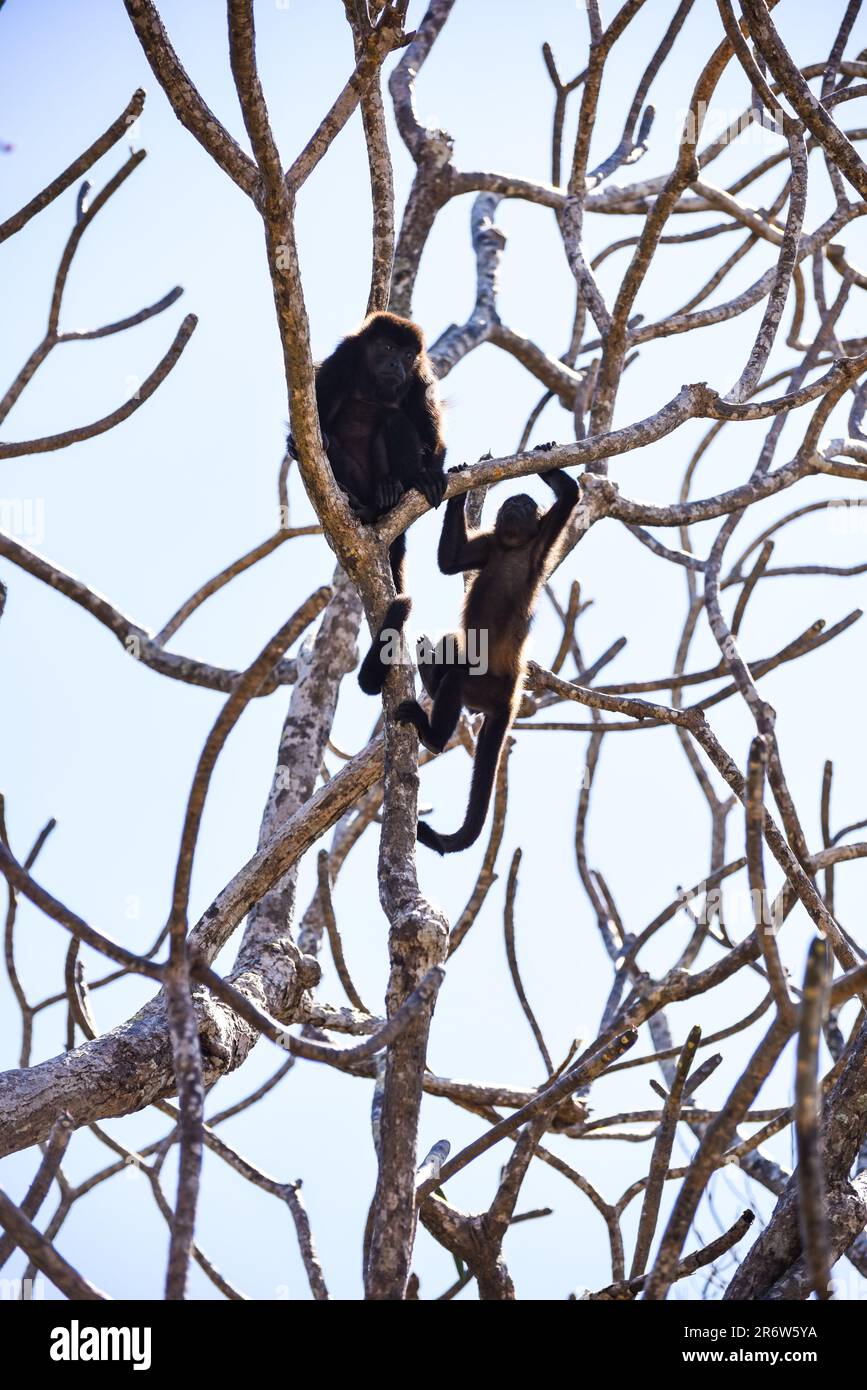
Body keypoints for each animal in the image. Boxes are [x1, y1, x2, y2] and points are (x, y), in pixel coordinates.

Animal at [291, 312, 447, 591]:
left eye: (408, 355)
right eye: (388, 348)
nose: (396, 365)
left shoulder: (420, 379)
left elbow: (432, 437)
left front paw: (430, 475)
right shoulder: (345, 356)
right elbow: (315, 410)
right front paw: (292, 442)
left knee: (395, 420)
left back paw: (390, 491)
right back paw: (366, 506)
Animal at [359, 455, 579, 854]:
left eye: (525, 504)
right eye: (512, 503)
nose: (514, 505)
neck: (512, 546)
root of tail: (510, 700)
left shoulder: (541, 542)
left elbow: (571, 496)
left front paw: (553, 471)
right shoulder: (490, 544)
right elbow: (450, 561)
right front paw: (458, 481)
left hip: (485, 688)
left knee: (457, 683)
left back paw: (433, 736)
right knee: (450, 645)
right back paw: (430, 673)